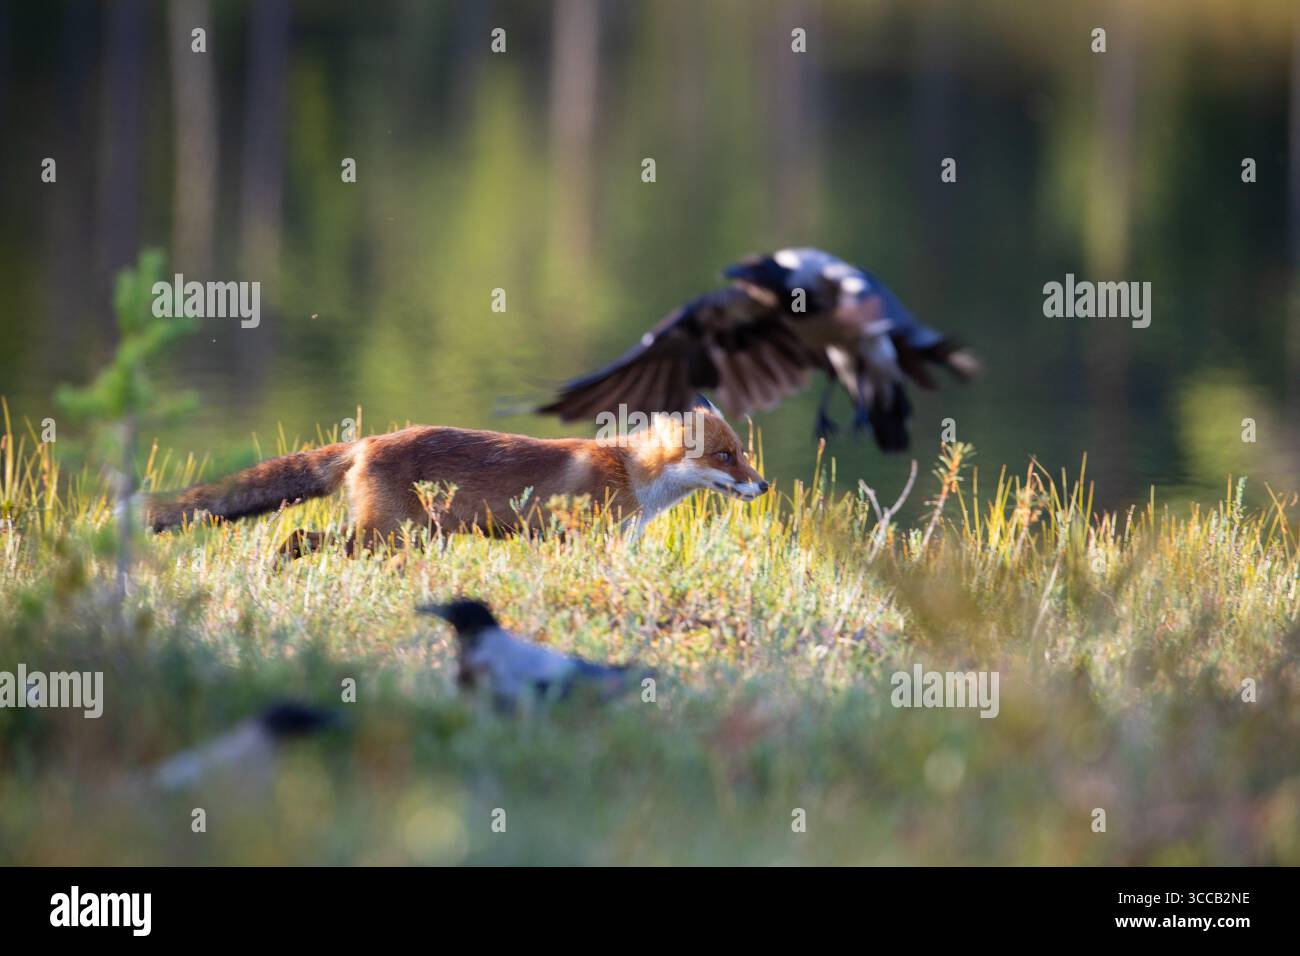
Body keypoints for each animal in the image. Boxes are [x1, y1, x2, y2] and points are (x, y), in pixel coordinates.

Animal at [143, 397, 769, 555]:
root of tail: (365, 442)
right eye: (726, 457)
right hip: (386, 533)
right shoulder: (577, 539)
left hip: (400, 537)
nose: (764, 486)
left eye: (742, 453)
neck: (634, 478)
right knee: (297, 536)